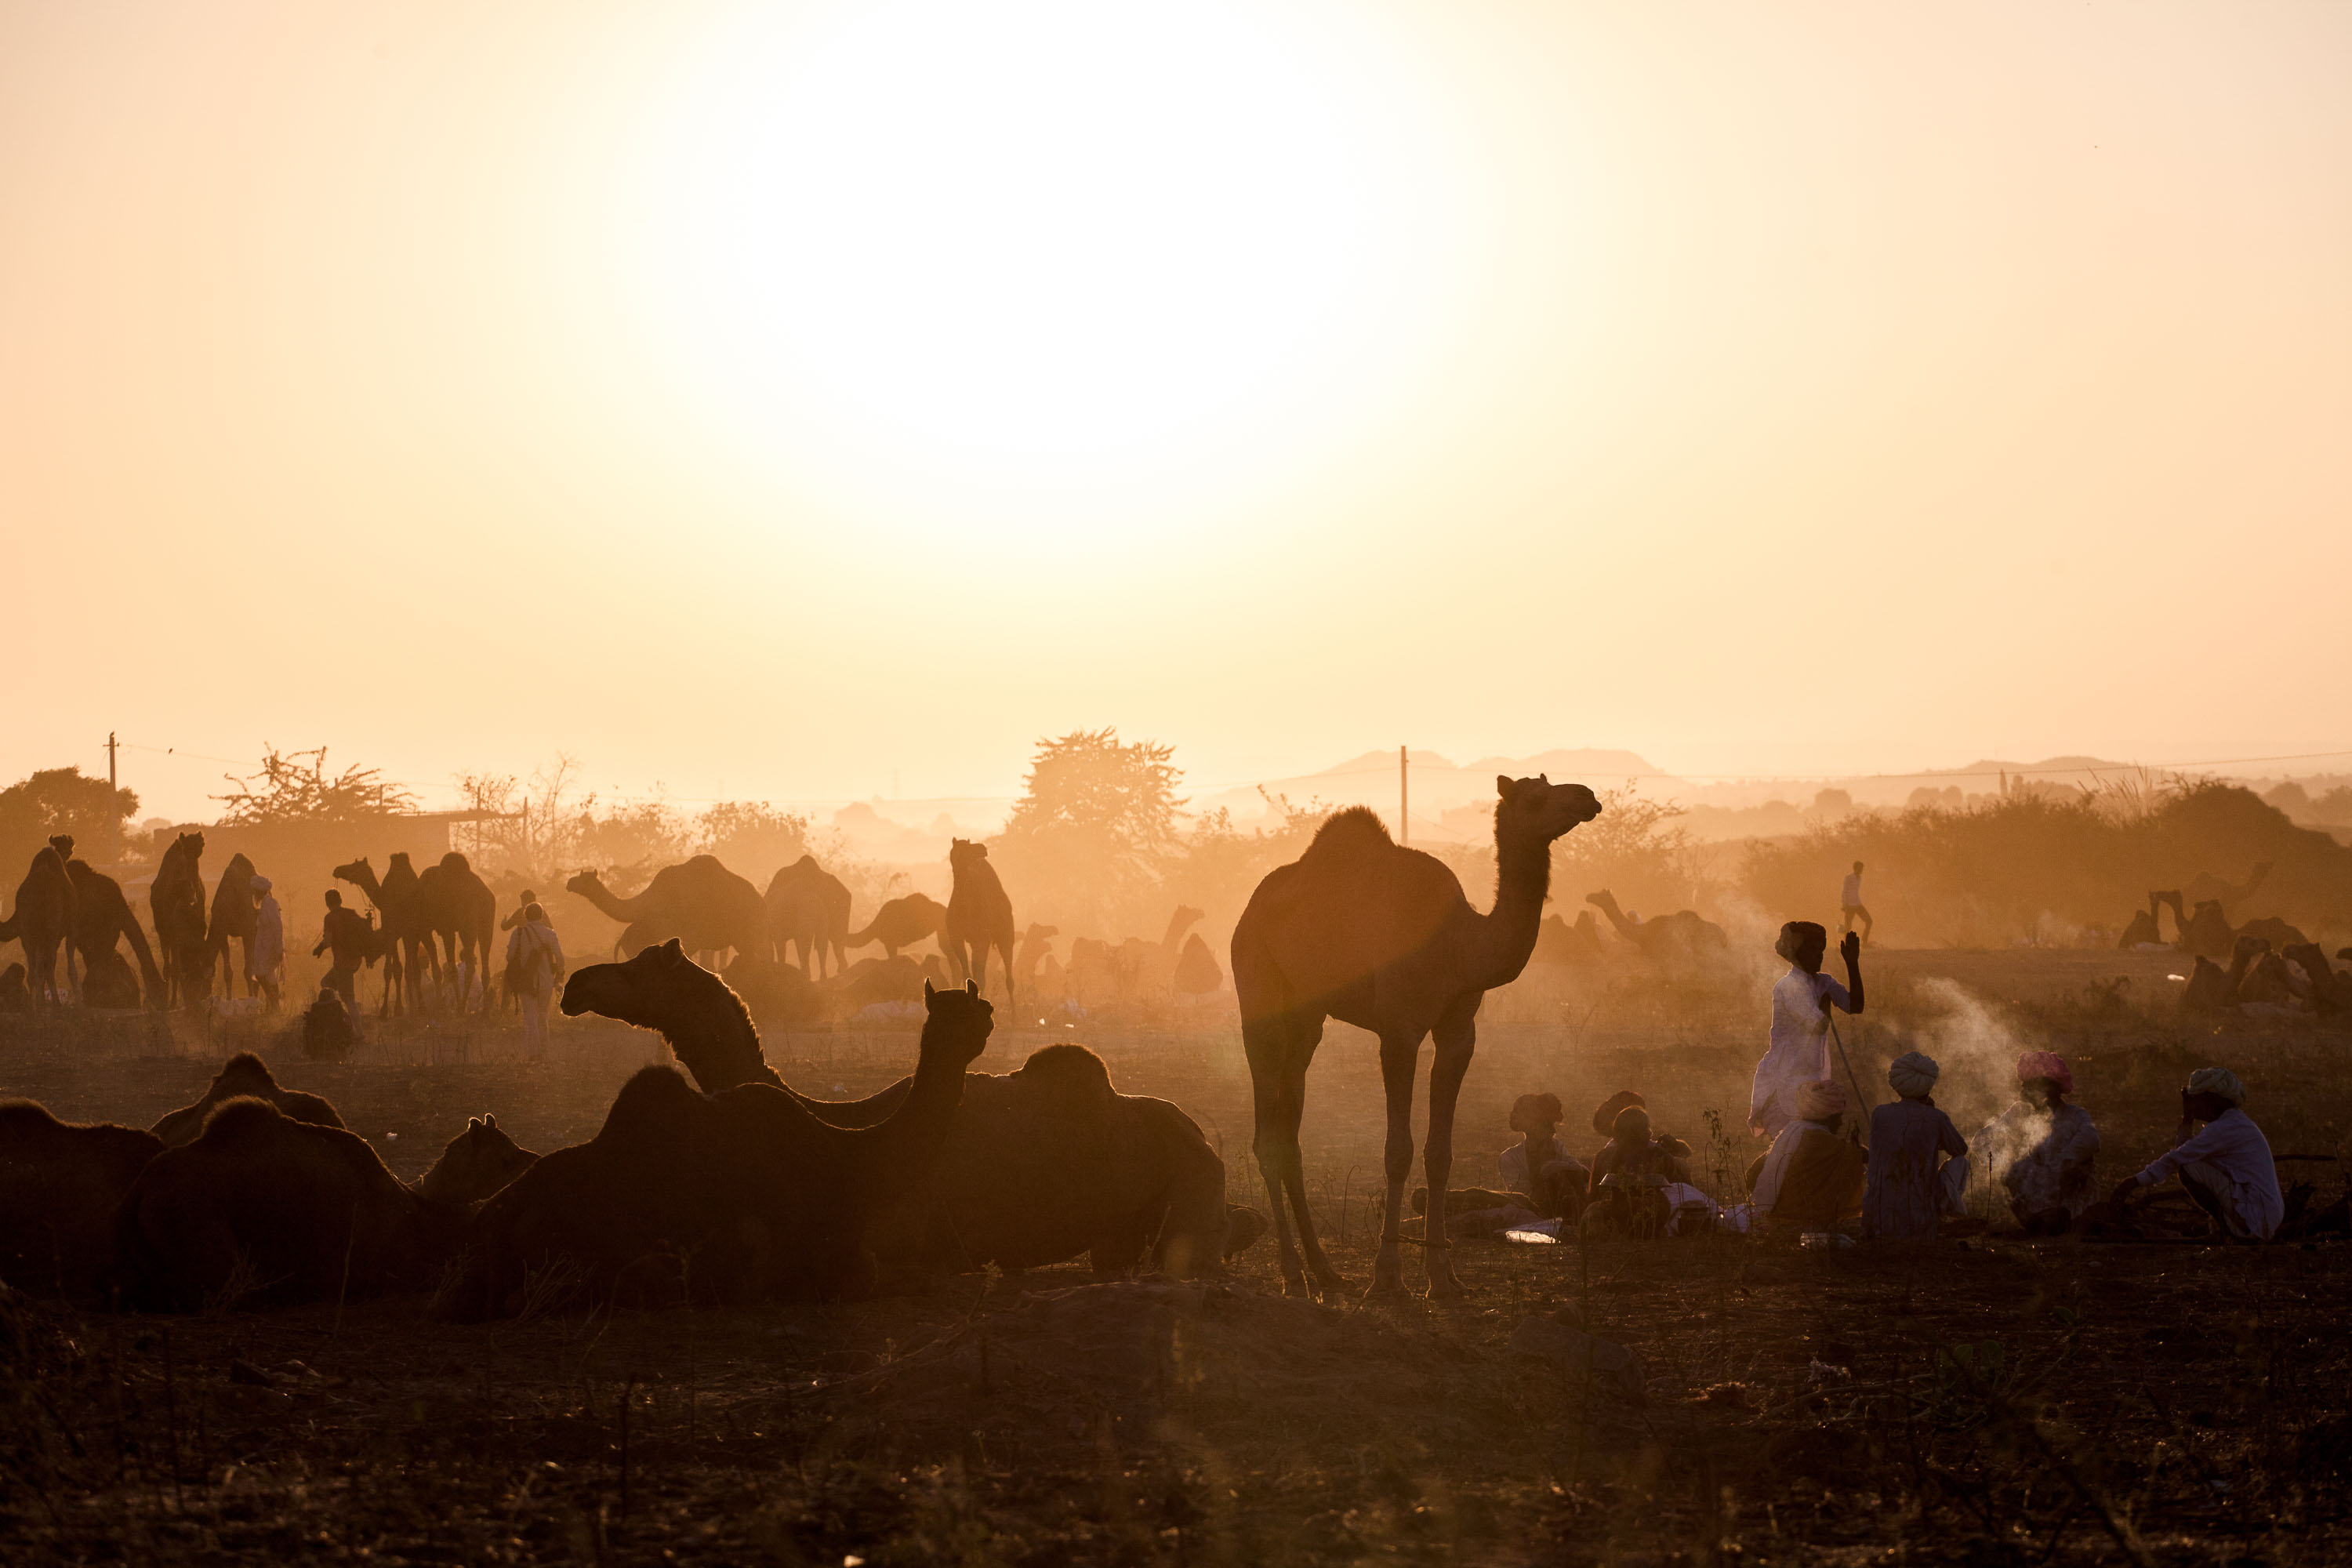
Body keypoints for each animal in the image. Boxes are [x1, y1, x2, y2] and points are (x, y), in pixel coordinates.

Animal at [2, 843, 78, 1005]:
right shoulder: (70, 927)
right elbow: (66, 967)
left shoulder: (26, 935)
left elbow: (36, 969)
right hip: (49, 930)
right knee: (46, 967)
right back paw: (54, 1004)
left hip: (31, 932)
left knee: (34, 969)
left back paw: (34, 1006)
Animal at [149, 831, 211, 1008]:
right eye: (187, 845)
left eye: (201, 842)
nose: (198, 846)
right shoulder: (175, 932)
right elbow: (177, 967)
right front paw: (176, 1002)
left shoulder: (199, 931)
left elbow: (199, 964)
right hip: (163, 931)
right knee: (169, 966)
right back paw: (169, 1001)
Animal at [206, 852, 260, 999]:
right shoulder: (223, 932)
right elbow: (228, 972)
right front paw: (229, 999)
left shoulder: (248, 931)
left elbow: (248, 970)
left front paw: (251, 998)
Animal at [945, 839, 1017, 1008]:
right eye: (965, 849)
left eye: (969, 845)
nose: (983, 848)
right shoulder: (956, 938)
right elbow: (967, 973)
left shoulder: (982, 939)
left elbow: (980, 977)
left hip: (1006, 934)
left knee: (1009, 978)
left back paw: (1014, 1012)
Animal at [1232, 774, 1602, 1298]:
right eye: (1535, 798)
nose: (1586, 796)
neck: (1462, 945)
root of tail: (1249, 911)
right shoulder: (1400, 1030)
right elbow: (1398, 1151)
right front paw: (1388, 1277)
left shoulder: (1459, 1031)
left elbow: (1440, 1153)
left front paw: (1443, 1277)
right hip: (1258, 990)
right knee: (1267, 1135)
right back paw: (1293, 1274)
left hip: (1308, 1017)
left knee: (1291, 1135)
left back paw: (1325, 1269)